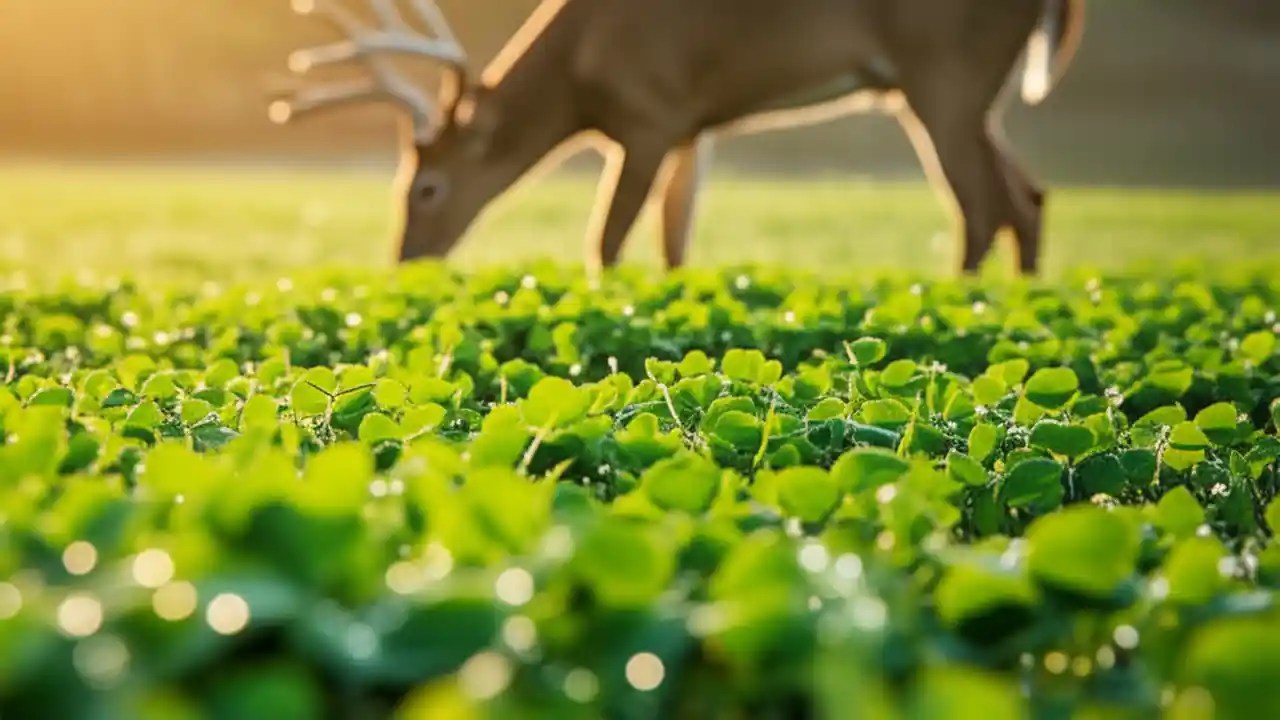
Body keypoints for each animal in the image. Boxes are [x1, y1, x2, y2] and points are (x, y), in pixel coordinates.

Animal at [272, 0, 1085, 276]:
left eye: (427, 187)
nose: (406, 262)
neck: (579, 69)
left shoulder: (649, 114)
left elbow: (606, 240)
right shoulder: (695, 125)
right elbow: (674, 241)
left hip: (943, 74)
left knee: (981, 208)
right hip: (962, 92)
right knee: (1029, 198)